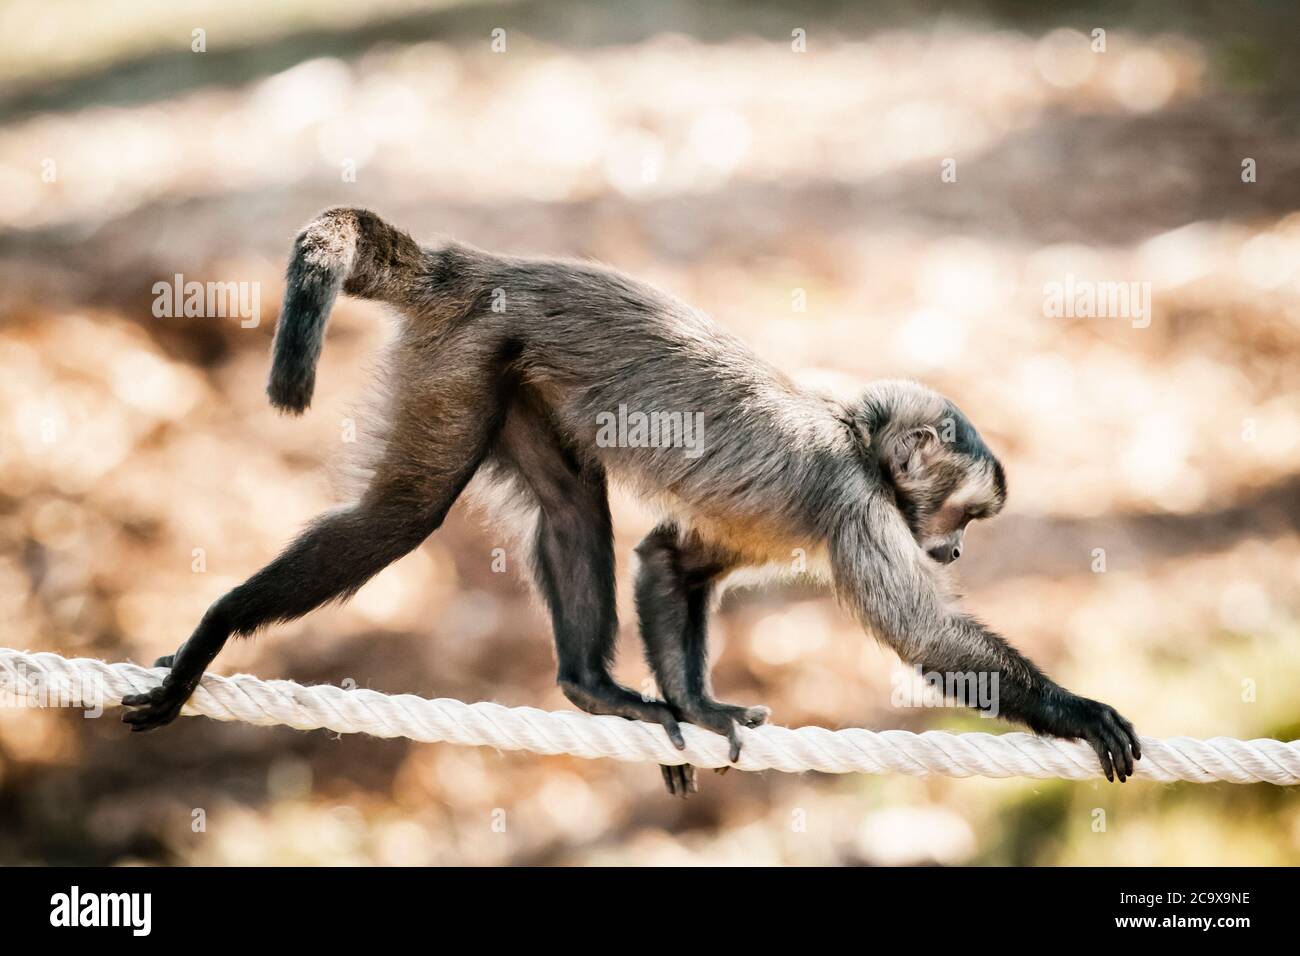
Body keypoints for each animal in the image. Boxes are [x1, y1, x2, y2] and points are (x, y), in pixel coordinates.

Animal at [122, 207, 1142, 795]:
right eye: (962, 519)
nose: (956, 553)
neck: (856, 435)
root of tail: (478, 266)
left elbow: (667, 562)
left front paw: (695, 705)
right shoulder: (854, 503)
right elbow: (929, 641)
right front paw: (1079, 709)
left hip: (504, 366)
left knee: (573, 504)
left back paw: (595, 688)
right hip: (466, 350)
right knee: (405, 516)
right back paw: (219, 626)